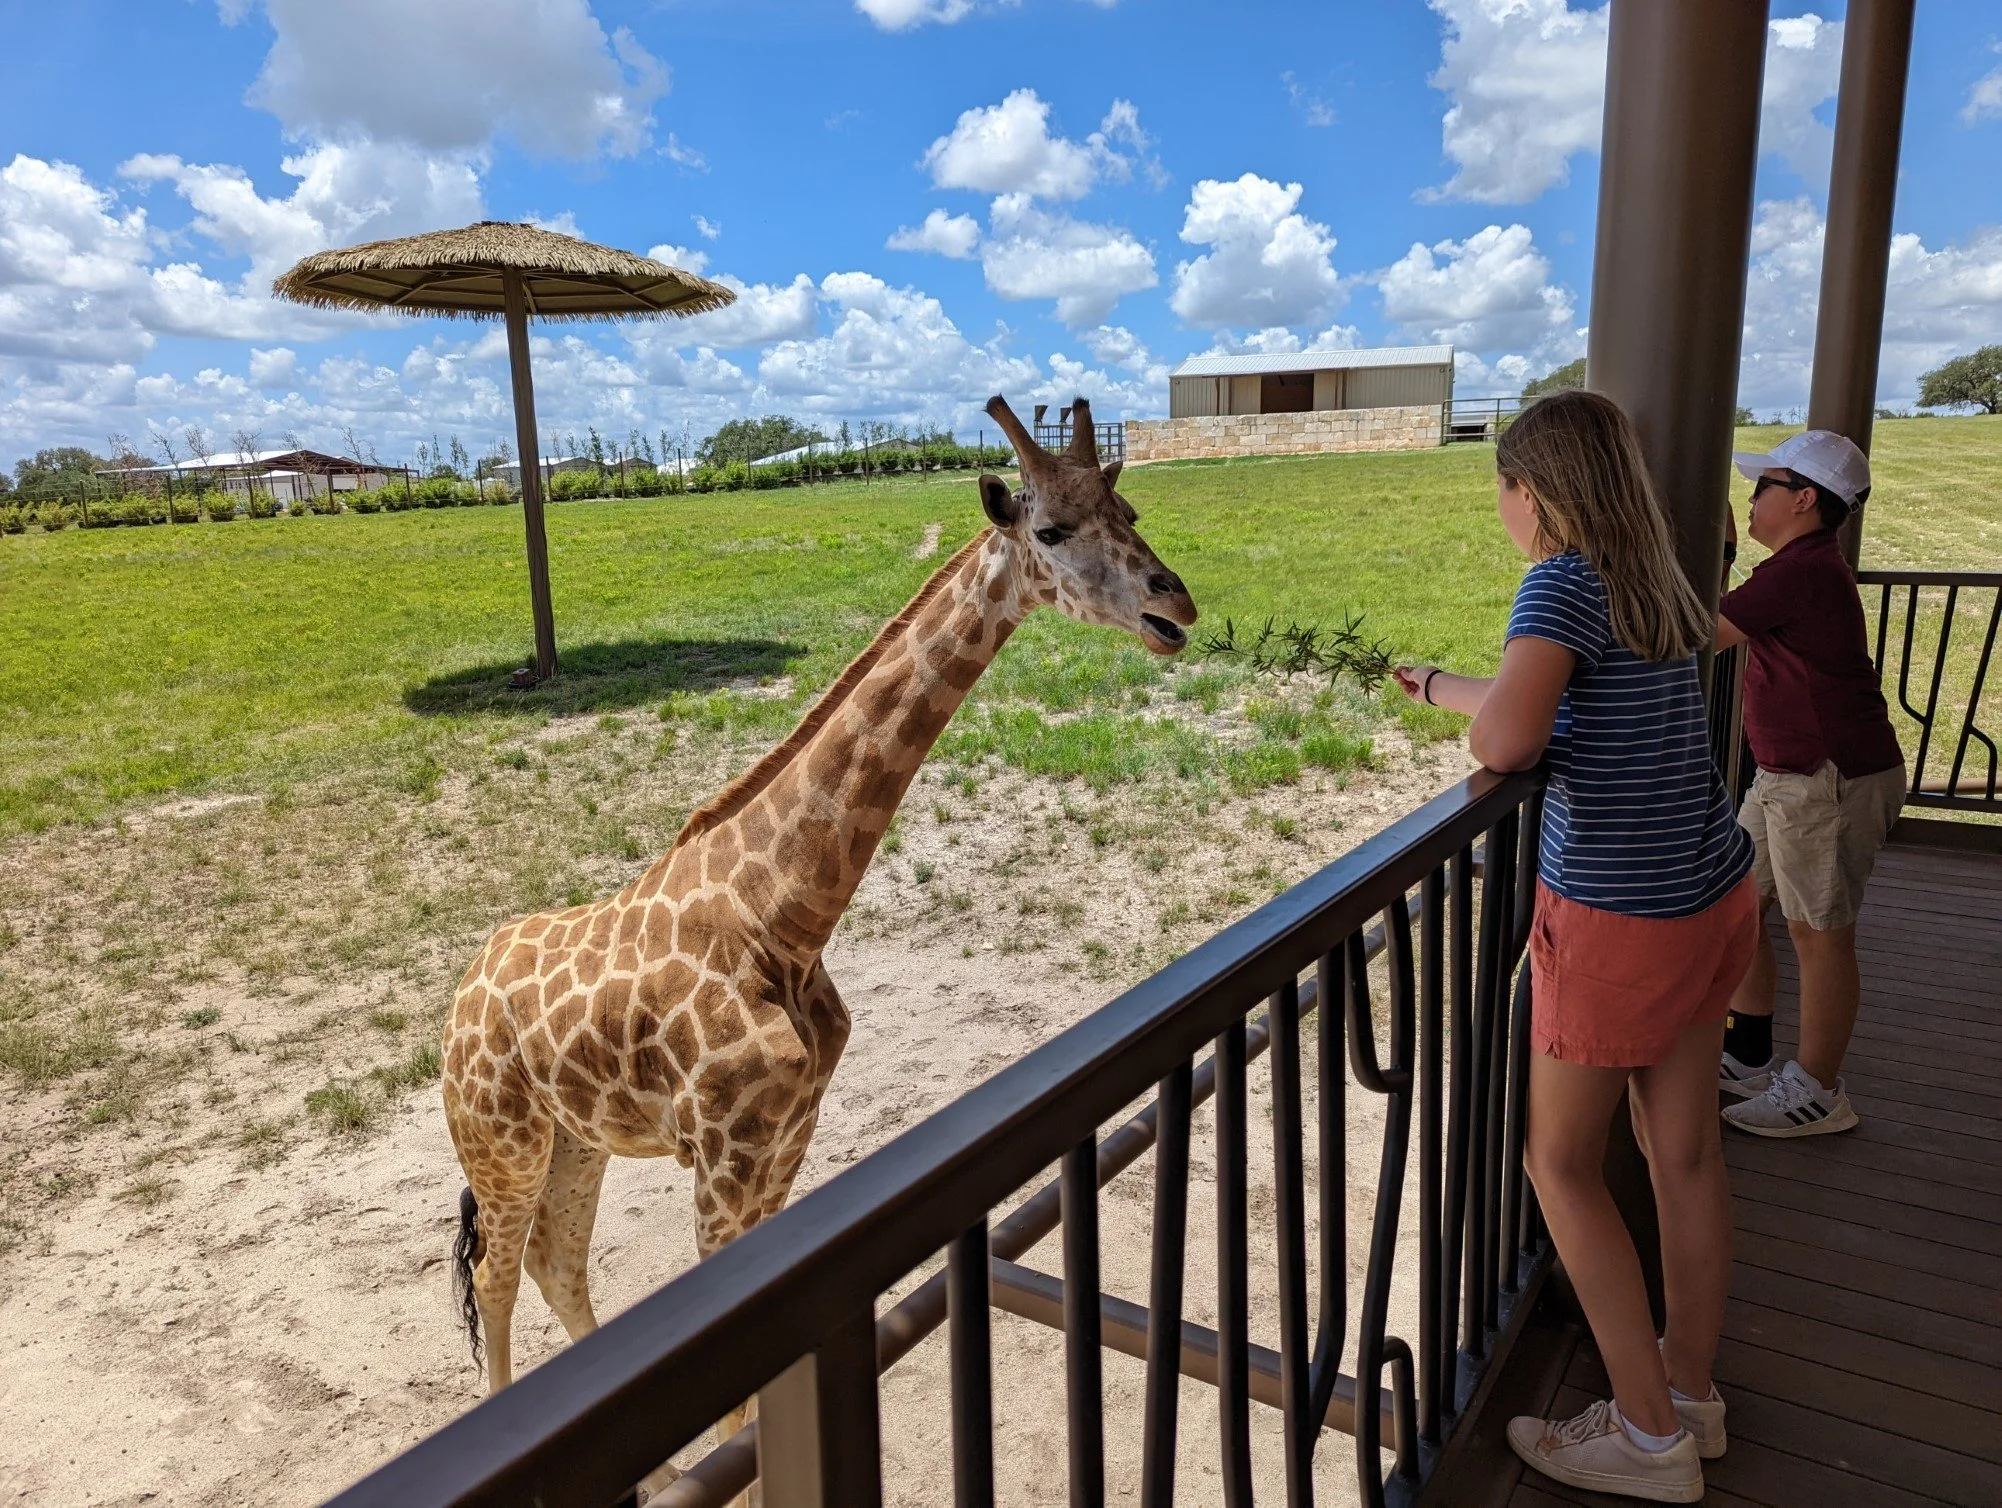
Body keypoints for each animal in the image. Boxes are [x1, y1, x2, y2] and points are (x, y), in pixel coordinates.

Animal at [441, 395, 1197, 1419]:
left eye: (1132, 515)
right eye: (1050, 529)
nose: (1176, 606)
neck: (783, 918)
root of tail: (458, 1000)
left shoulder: (784, 1143)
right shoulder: (724, 1160)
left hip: (576, 1139)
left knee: (557, 1262)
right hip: (501, 1140)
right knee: (497, 1274)